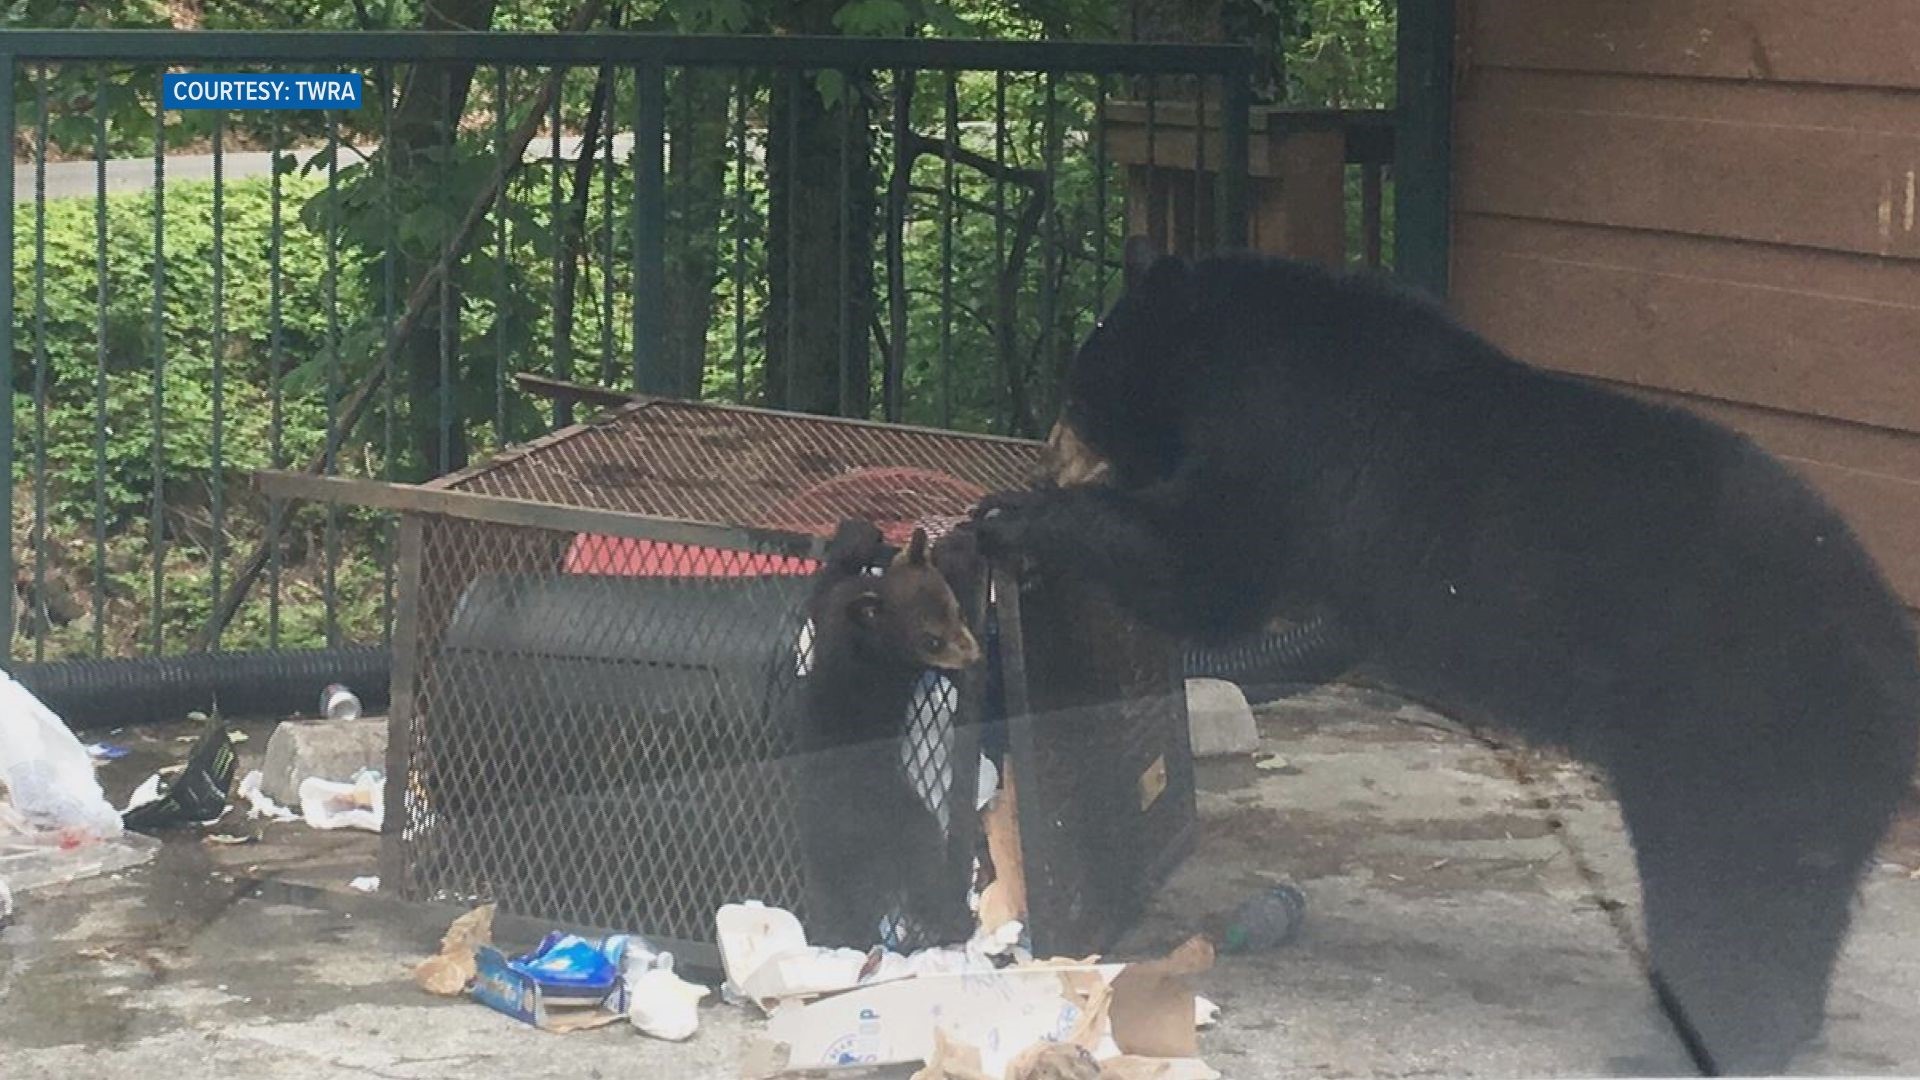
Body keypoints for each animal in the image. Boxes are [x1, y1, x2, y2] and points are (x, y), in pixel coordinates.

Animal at [792, 518, 983, 949]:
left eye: (957, 612)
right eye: (931, 640)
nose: (973, 655)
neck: (869, 629)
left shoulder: (834, 607)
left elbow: (822, 589)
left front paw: (856, 535)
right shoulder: (902, 659)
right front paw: (958, 551)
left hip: (824, 865)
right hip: (905, 823)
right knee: (924, 871)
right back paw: (957, 920)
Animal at [968, 246, 1920, 1076]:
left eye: (1077, 387)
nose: (1049, 449)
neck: (1251, 344)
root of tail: (1892, 660)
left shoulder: (1289, 442)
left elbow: (1209, 565)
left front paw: (1018, 515)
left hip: (1734, 723)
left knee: (1728, 886)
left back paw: (1706, 1039)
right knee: (1796, 896)